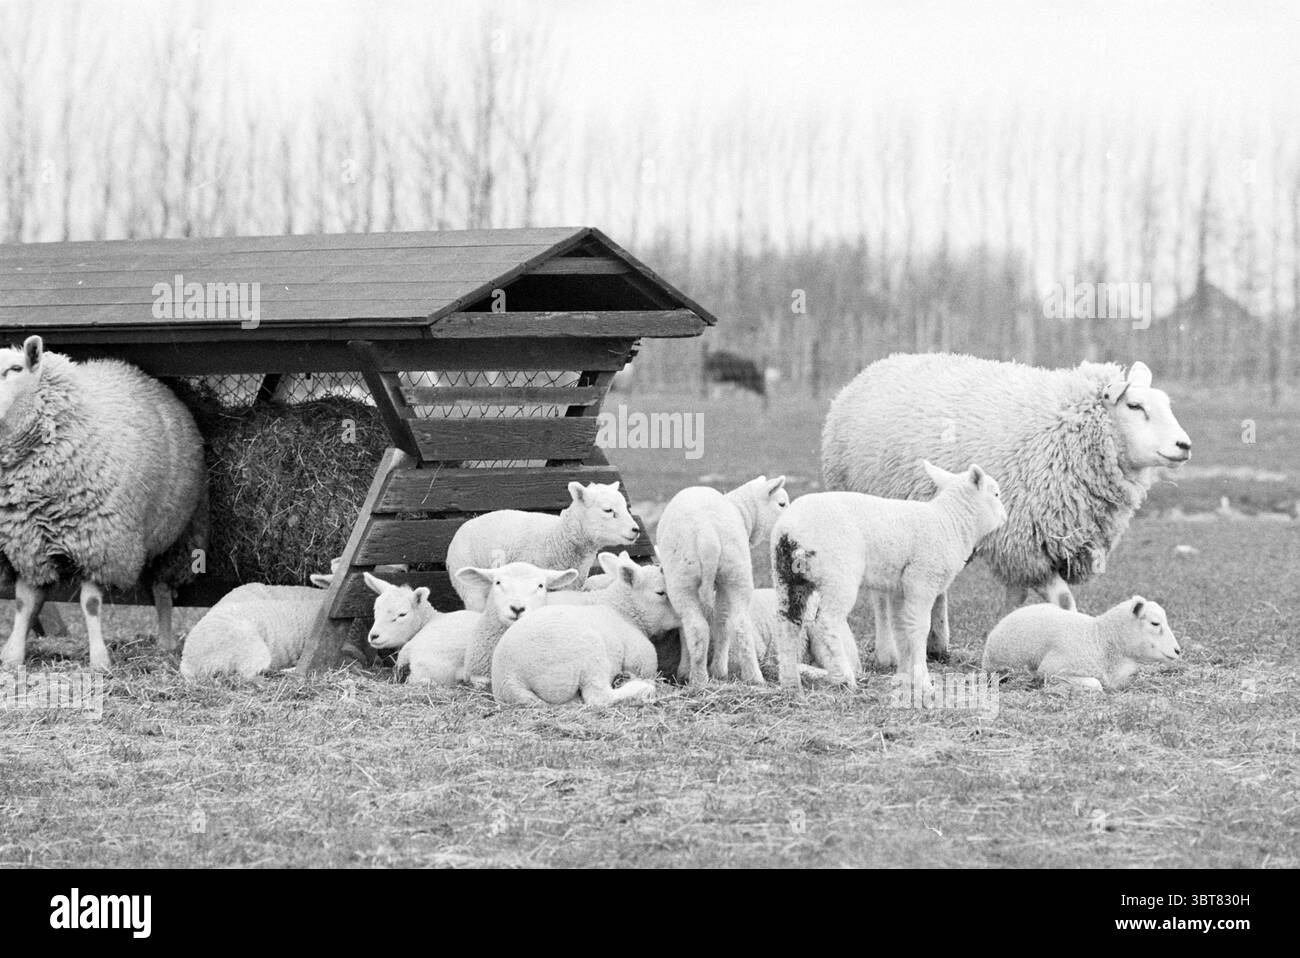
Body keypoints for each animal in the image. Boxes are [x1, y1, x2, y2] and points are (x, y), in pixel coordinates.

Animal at [0, 336, 208, 672]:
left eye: (15, 369)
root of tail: (135, 371)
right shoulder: (28, 545)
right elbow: (24, 601)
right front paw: (13, 656)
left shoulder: (100, 544)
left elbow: (91, 604)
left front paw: (99, 660)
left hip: (178, 535)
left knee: (162, 588)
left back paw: (165, 644)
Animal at [492, 551, 680, 707]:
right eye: (661, 593)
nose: (680, 615)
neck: (621, 610)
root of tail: (510, 680)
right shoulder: (641, 657)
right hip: (588, 655)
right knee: (598, 697)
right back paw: (639, 687)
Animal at [655, 475, 789, 686]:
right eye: (781, 503)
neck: (742, 511)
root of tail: (707, 532)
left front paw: (690, 670)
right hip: (735, 569)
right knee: (739, 624)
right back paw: (751, 677)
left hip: (682, 578)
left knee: (698, 627)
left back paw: (702, 678)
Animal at [771, 460, 1007, 694]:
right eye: (996, 494)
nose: (1005, 517)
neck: (950, 523)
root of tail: (790, 529)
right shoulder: (922, 580)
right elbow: (919, 628)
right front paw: (923, 681)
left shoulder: (898, 589)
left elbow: (901, 630)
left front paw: (904, 677)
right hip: (838, 574)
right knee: (826, 622)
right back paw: (845, 678)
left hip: (787, 578)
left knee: (787, 624)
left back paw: (790, 682)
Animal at [820, 353, 1191, 653]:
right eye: (1135, 406)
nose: (1184, 445)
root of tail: (870, 370)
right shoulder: (1023, 540)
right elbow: (1063, 601)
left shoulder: (1027, 544)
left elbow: (1016, 598)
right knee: (881, 594)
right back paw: (888, 653)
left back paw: (937, 646)